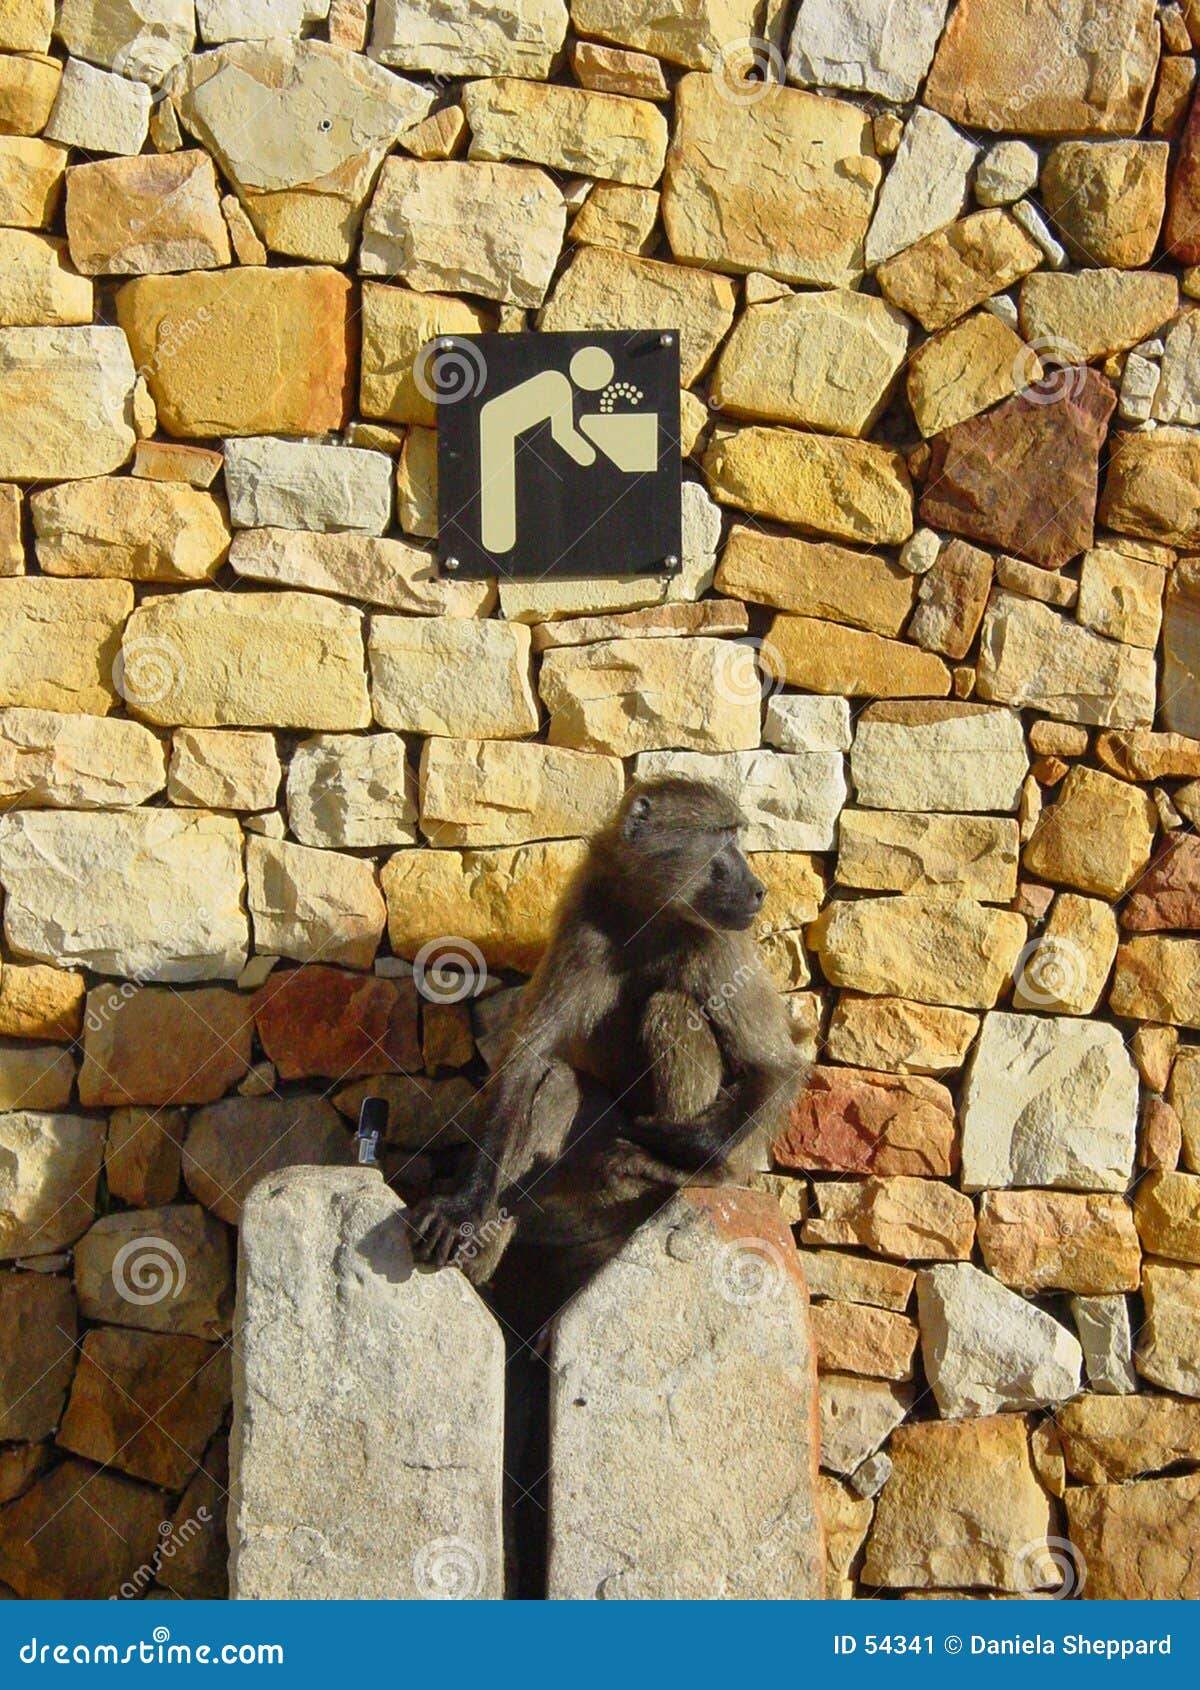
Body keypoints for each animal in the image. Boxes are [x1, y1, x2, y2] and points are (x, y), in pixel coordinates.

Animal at [407, 778, 805, 1305]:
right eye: (722, 838)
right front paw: (465, 1208)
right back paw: (481, 1258)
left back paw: (677, 1172)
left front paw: (674, 1141)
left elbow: (776, 1067)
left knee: (672, 1009)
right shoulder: (585, 924)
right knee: (556, 1086)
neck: (650, 910)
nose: (759, 890)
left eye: (736, 836)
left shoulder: (720, 942)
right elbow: (527, 1059)